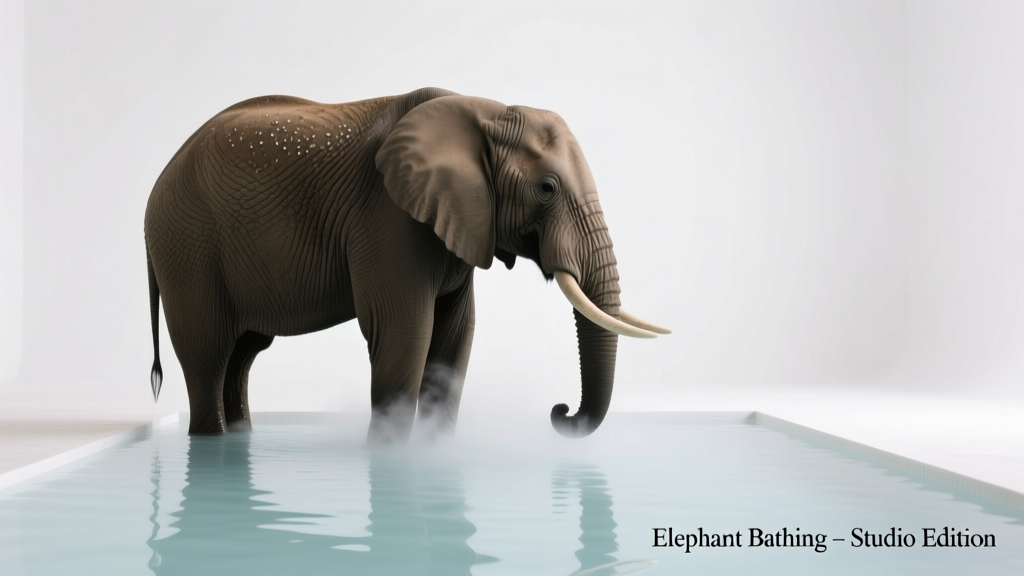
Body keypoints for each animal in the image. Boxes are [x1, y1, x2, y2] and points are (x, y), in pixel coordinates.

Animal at [144, 87, 669, 442]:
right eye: (547, 188)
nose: (560, 412)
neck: (484, 111)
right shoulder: (388, 219)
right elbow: (404, 332)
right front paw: (390, 454)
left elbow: (455, 336)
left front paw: (435, 450)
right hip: (188, 247)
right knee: (209, 353)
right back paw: (212, 444)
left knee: (244, 353)